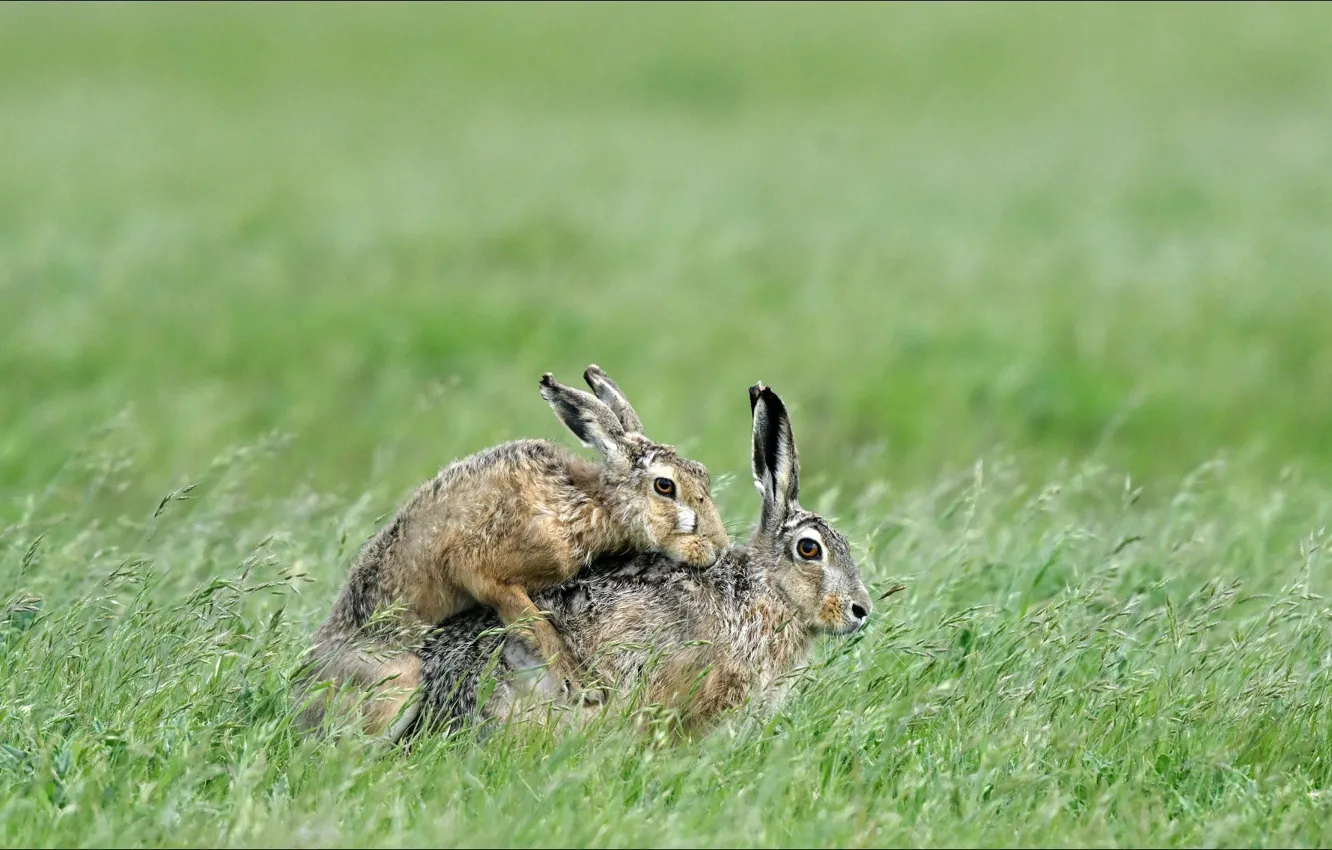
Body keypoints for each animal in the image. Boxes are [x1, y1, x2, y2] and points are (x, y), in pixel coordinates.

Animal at [296, 365, 731, 739]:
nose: (718, 548)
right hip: (398, 680)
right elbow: (534, 623)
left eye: (702, 472)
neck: (593, 503)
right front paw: (581, 683)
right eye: (664, 486)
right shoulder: (483, 568)